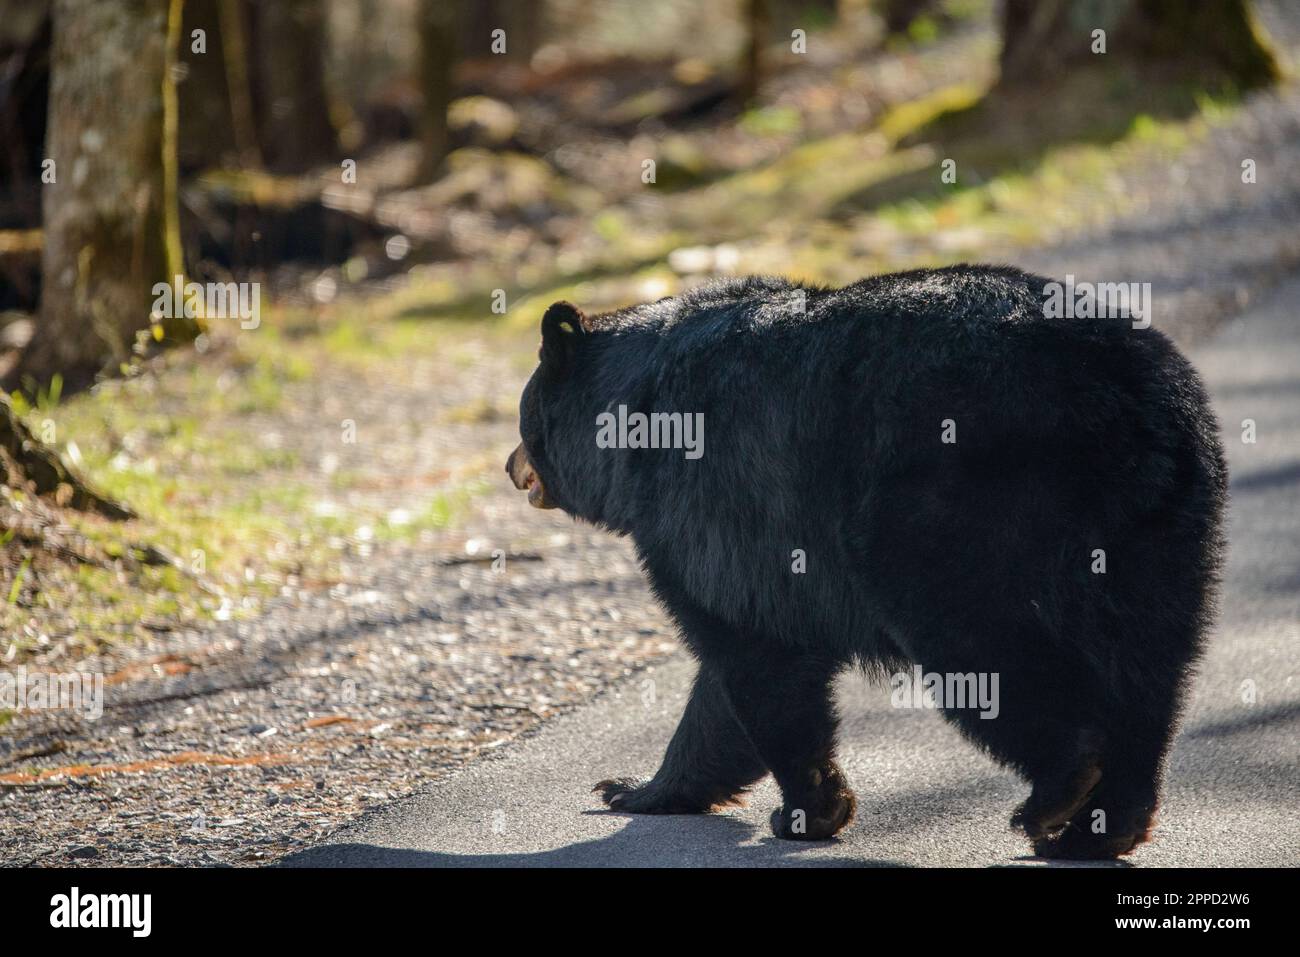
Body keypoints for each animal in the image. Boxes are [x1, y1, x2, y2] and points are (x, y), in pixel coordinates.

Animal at [505, 265, 1227, 859]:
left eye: (522, 420)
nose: (511, 468)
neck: (641, 413)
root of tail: (1124, 391)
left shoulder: (710, 508)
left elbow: (753, 655)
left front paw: (807, 809)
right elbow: (726, 683)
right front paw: (635, 787)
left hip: (951, 519)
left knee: (985, 646)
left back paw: (1056, 795)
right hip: (1157, 529)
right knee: (1146, 670)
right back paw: (1100, 828)